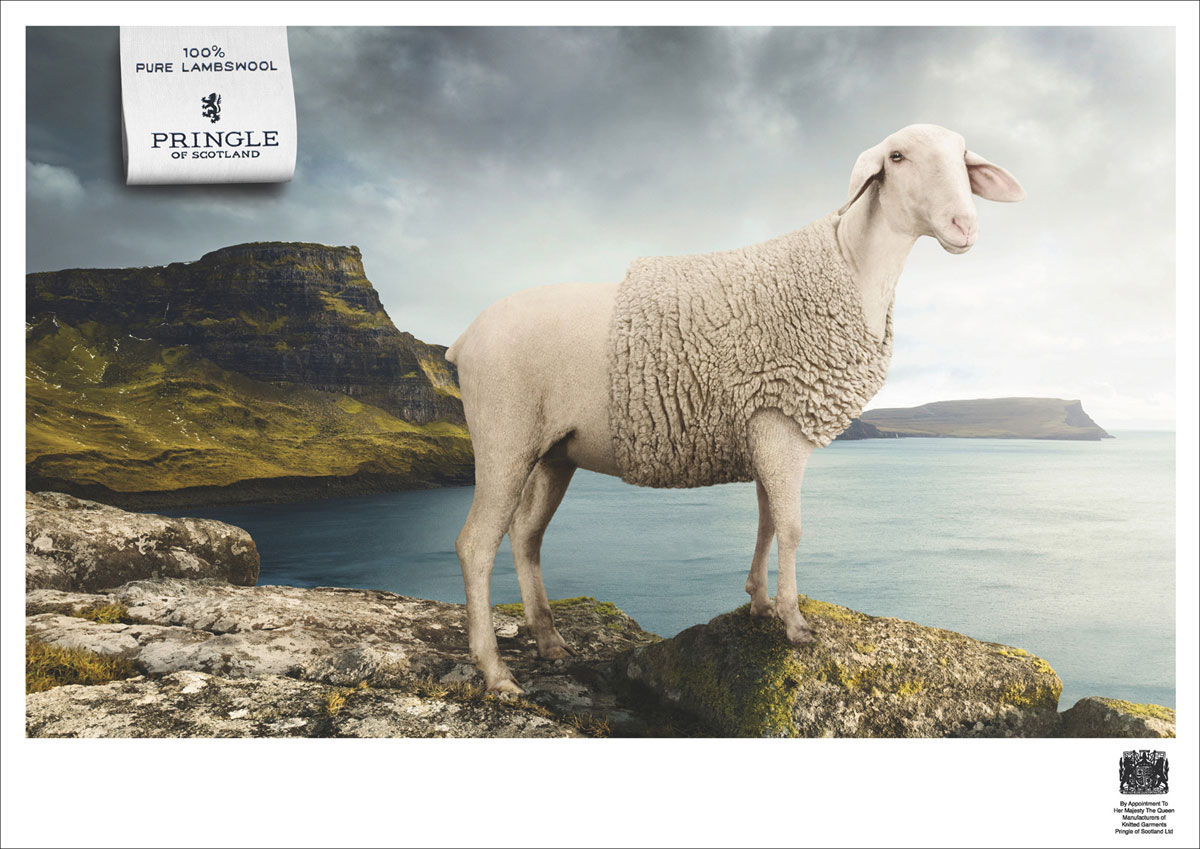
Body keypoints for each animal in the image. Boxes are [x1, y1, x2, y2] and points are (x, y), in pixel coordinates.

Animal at [446, 124, 1025, 693]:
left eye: (964, 157)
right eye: (898, 157)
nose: (964, 224)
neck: (850, 272)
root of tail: (463, 339)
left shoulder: (762, 427)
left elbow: (766, 520)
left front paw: (760, 604)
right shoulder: (781, 425)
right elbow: (790, 527)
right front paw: (794, 622)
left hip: (554, 452)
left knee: (526, 536)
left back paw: (549, 642)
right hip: (503, 437)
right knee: (476, 545)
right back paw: (496, 672)